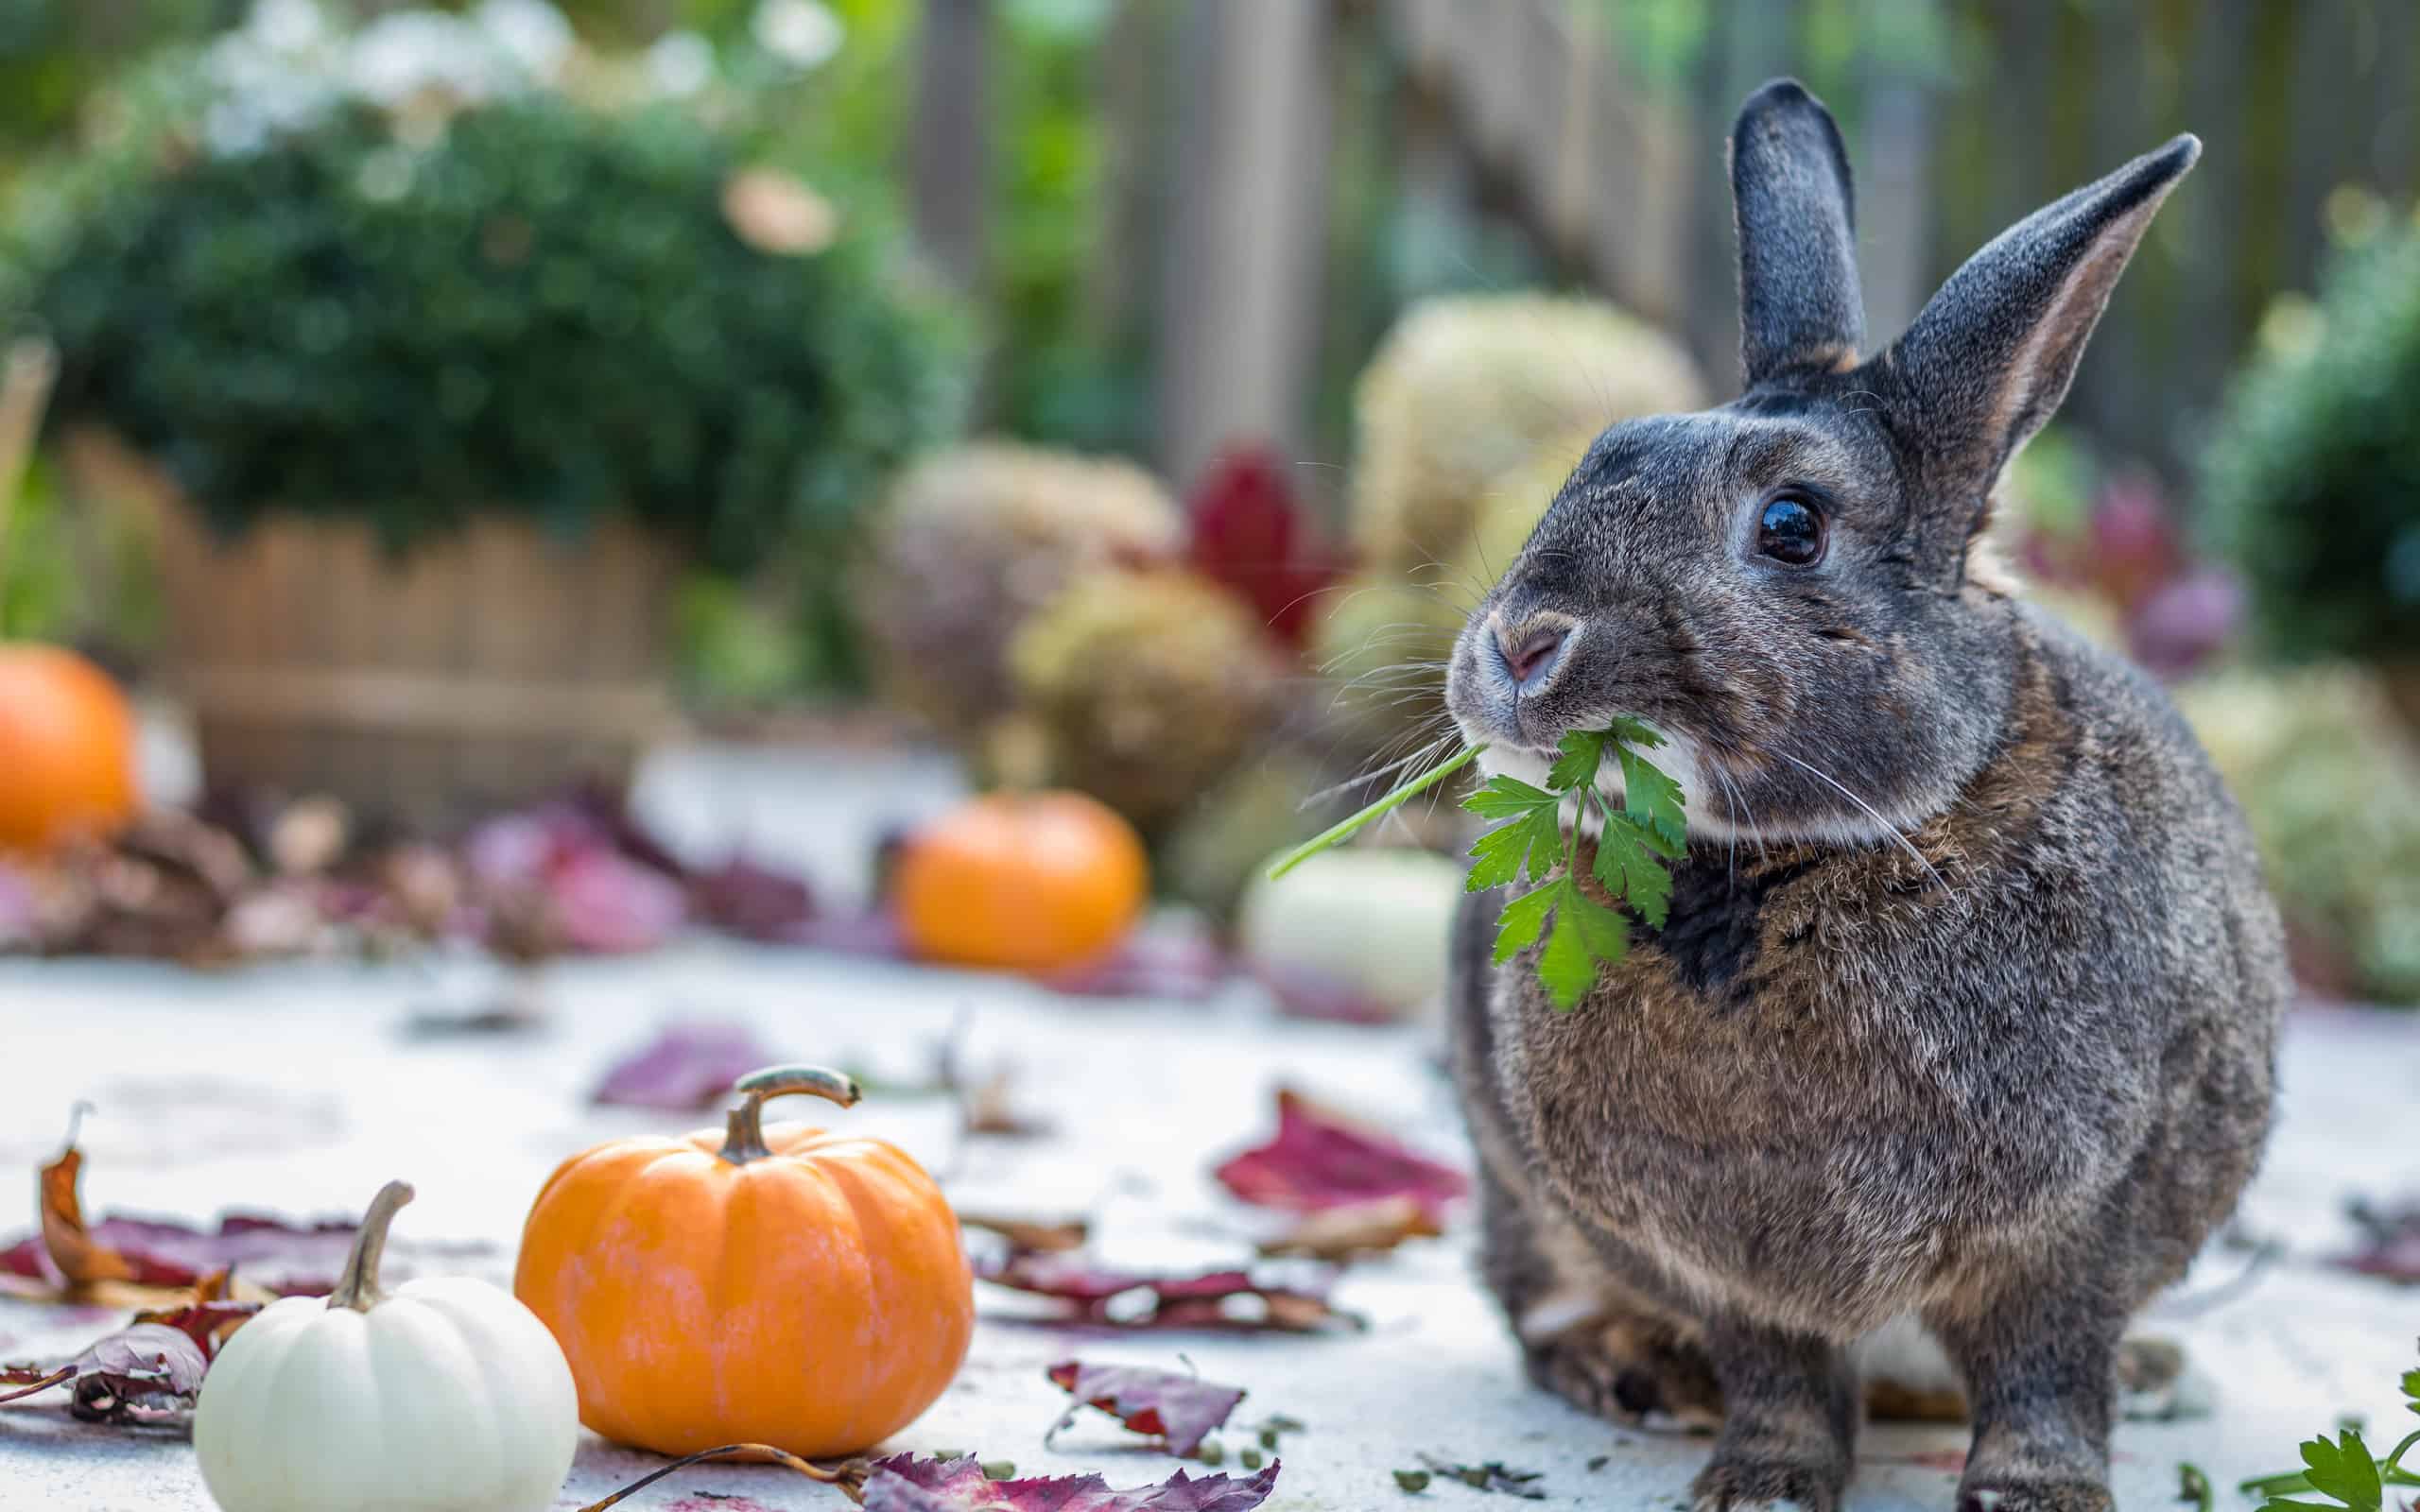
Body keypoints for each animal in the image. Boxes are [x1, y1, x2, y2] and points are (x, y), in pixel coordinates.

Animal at [1442, 78, 2285, 1512]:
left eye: (1790, 527)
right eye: (1598, 453)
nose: (1518, 645)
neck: (1781, 862)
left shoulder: (2079, 1225)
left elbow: (2048, 1370)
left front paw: (2035, 1493)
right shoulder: (1726, 1268)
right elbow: (1777, 1373)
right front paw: (1759, 1484)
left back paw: (2159, 1372)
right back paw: (1633, 1371)